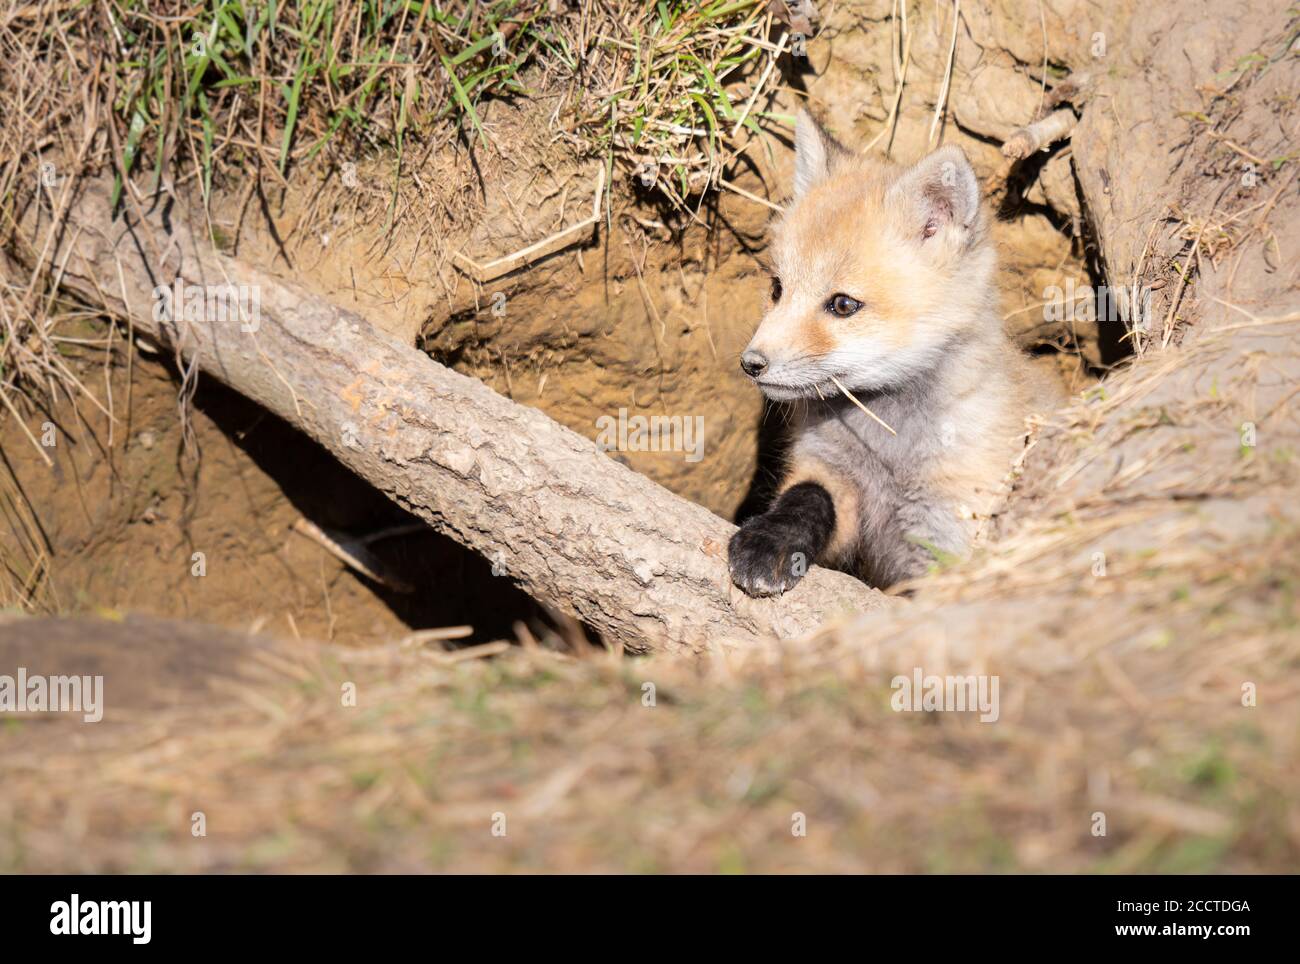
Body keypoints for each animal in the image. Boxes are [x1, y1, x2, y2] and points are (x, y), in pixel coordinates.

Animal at [728, 111, 1060, 597]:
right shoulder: (831, 475)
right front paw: (768, 542)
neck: (888, 455)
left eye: (842, 305)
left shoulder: (947, 537)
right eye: (777, 289)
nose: (751, 364)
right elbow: (807, 497)